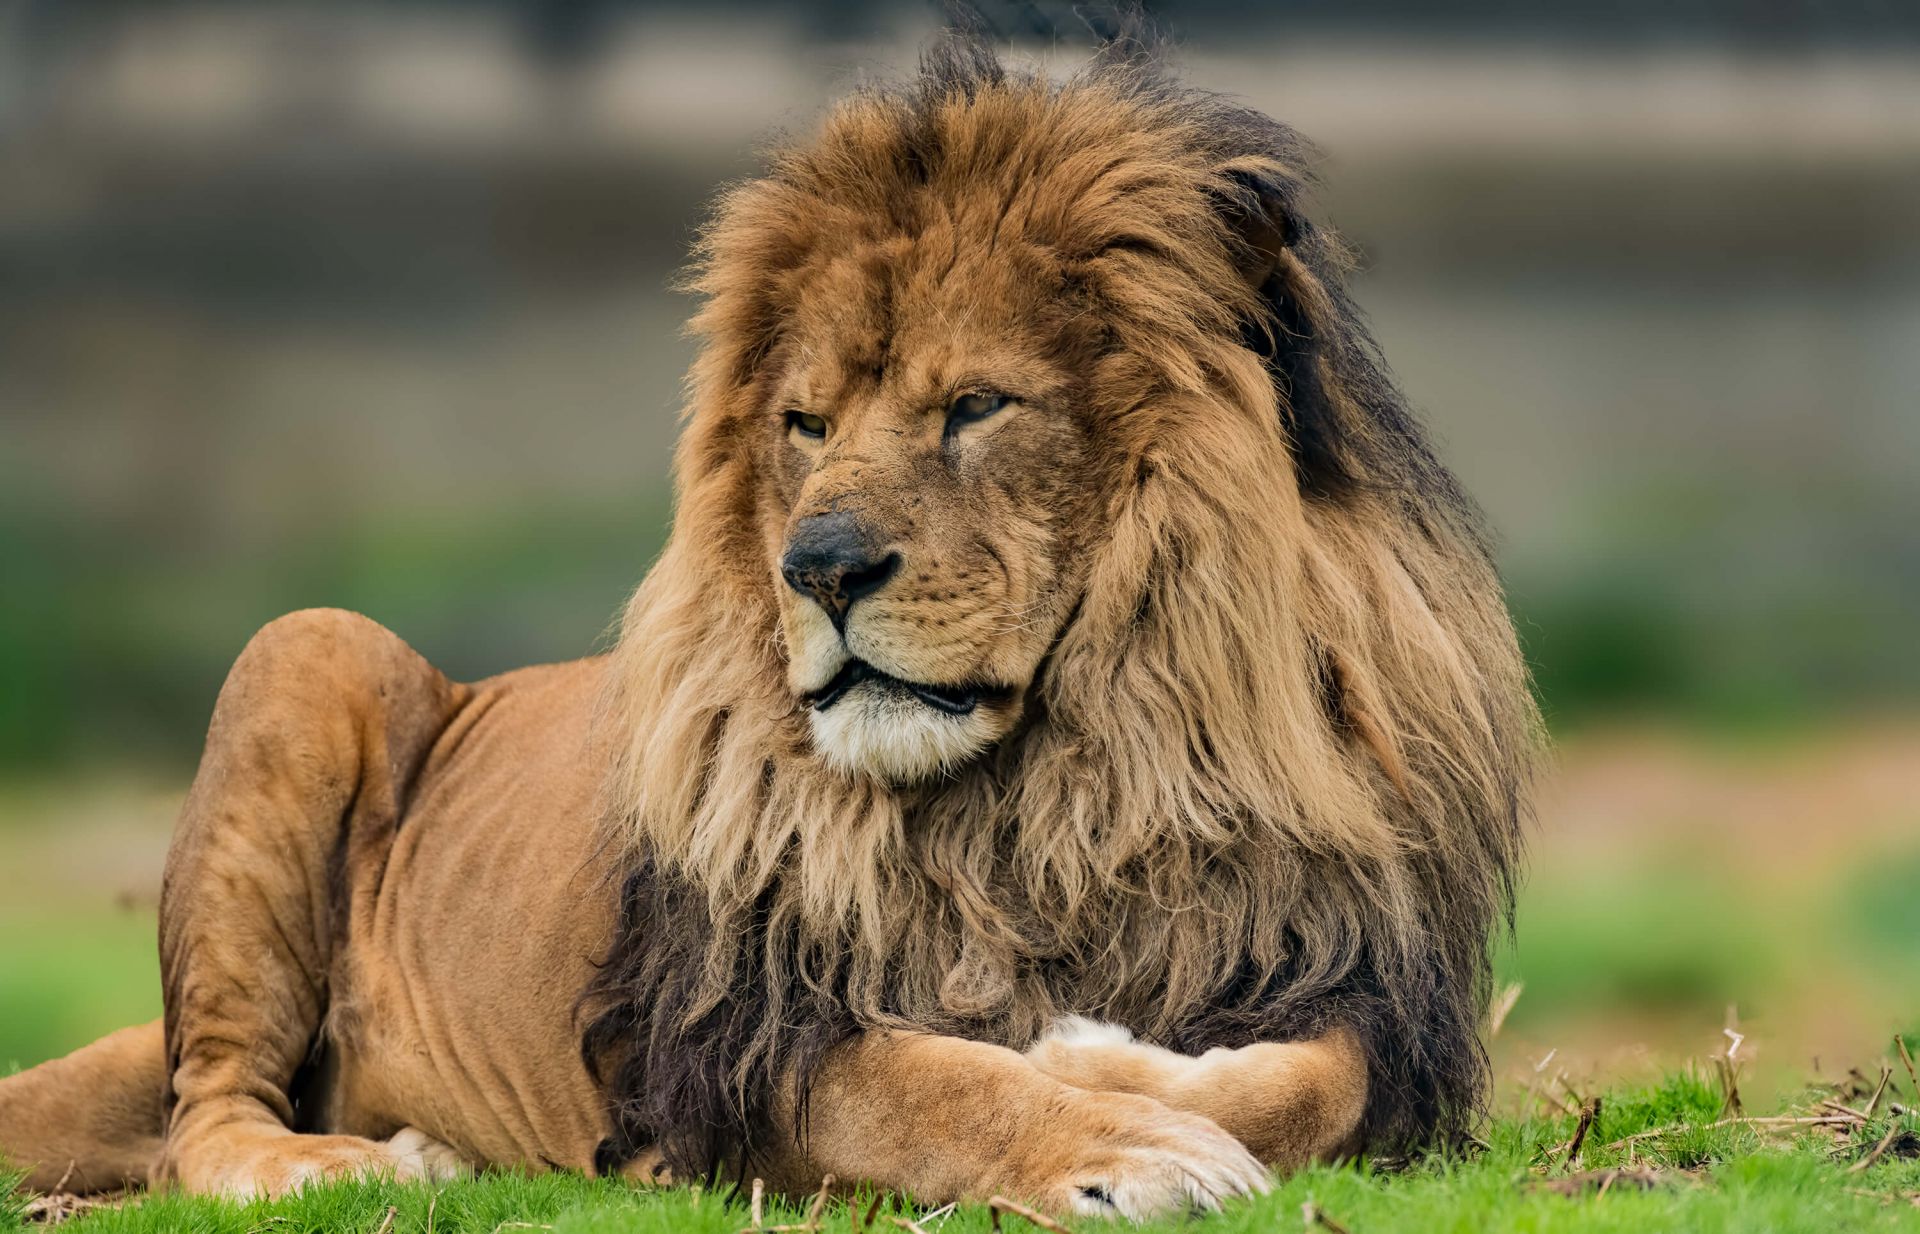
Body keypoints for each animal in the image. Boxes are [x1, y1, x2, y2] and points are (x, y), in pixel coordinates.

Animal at [0, 28, 1538, 1220]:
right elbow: (928, 1080)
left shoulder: (1352, 975)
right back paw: (344, 1165)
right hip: (305, 647)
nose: (823, 566)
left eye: (975, 405)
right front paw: (1120, 1135)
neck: (1047, 793)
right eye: (807, 424)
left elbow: (1320, 1078)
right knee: (203, 1117)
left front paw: (1111, 1060)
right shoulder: (733, 1040)